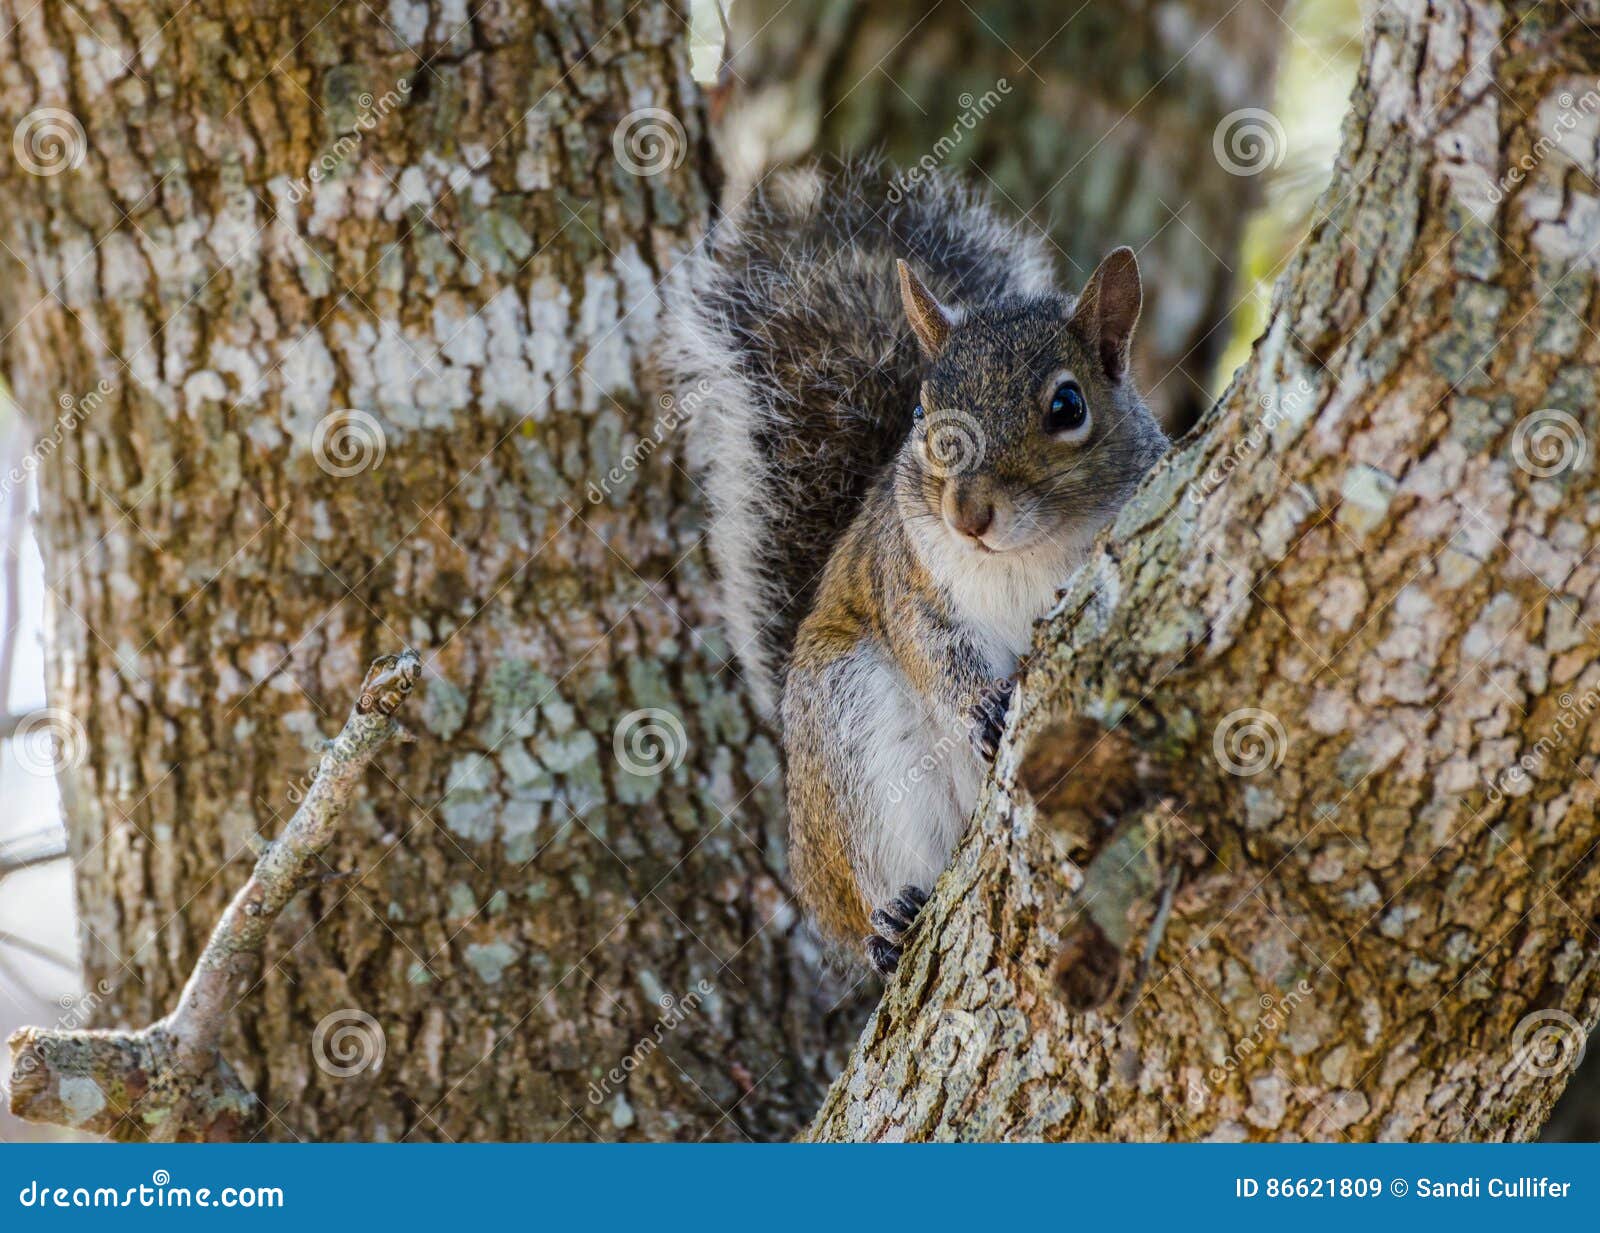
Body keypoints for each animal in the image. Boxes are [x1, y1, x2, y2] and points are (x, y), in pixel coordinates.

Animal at [662, 161, 1168, 975]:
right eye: (924, 412)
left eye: (1068, 405)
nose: (969, 513)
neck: (1026, 554)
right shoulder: (907, 576)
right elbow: (931, 648)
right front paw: (982, 706)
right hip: (847, 729)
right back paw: (890, 921)